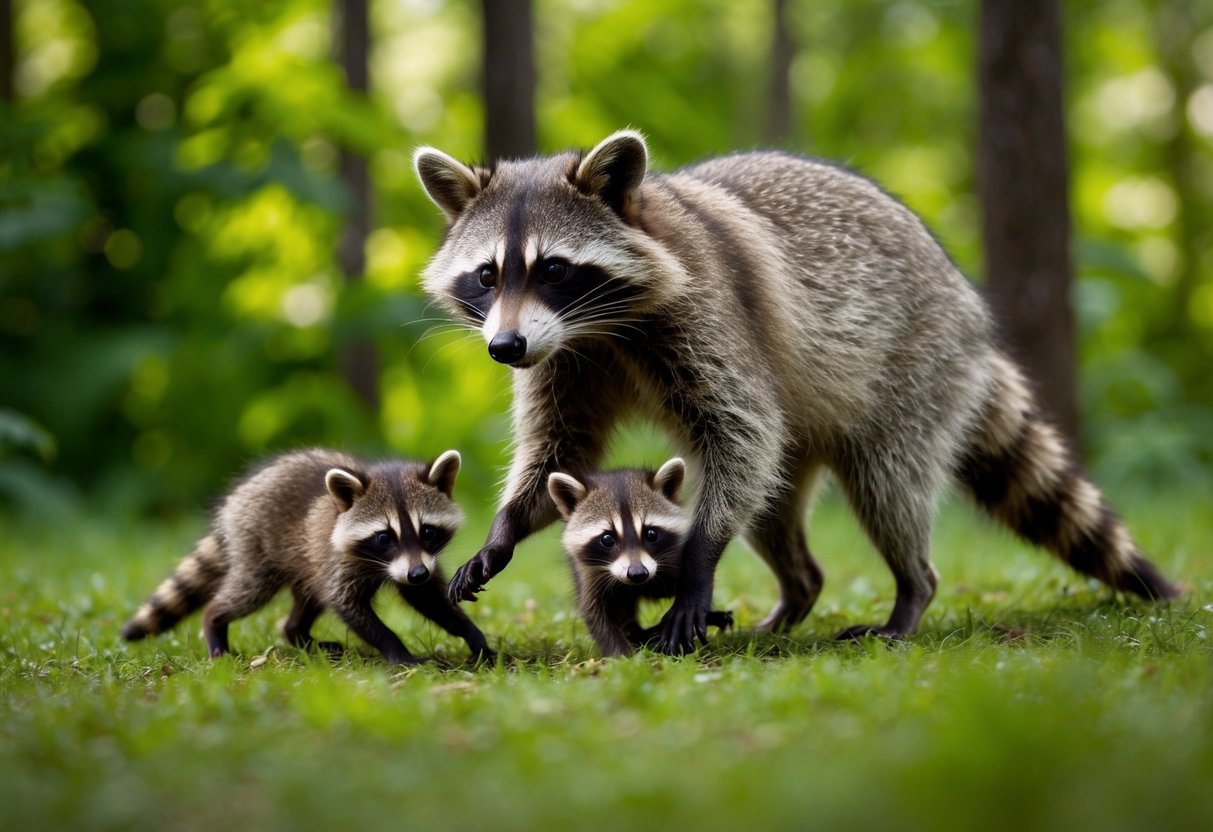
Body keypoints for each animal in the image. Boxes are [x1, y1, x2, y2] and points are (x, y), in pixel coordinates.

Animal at [122, 448, 492, 665]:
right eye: (384, 537)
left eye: (427, 531)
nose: (416, 573)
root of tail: (236, 499)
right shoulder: (340, 560)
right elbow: (346, 604)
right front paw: (397, 651)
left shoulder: (418, 562)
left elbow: (429, 599)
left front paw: (472, 634)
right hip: (258, 548)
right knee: (247, 594)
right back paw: (215, 624)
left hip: (304, 561)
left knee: (308, 599)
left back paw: (299, 635)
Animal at [547, 458, 733, 656]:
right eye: (607, 539)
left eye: (651, 534)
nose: (637, 574)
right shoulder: (588, 574)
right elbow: (595, 613)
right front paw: (621, 655)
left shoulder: (673, 559)